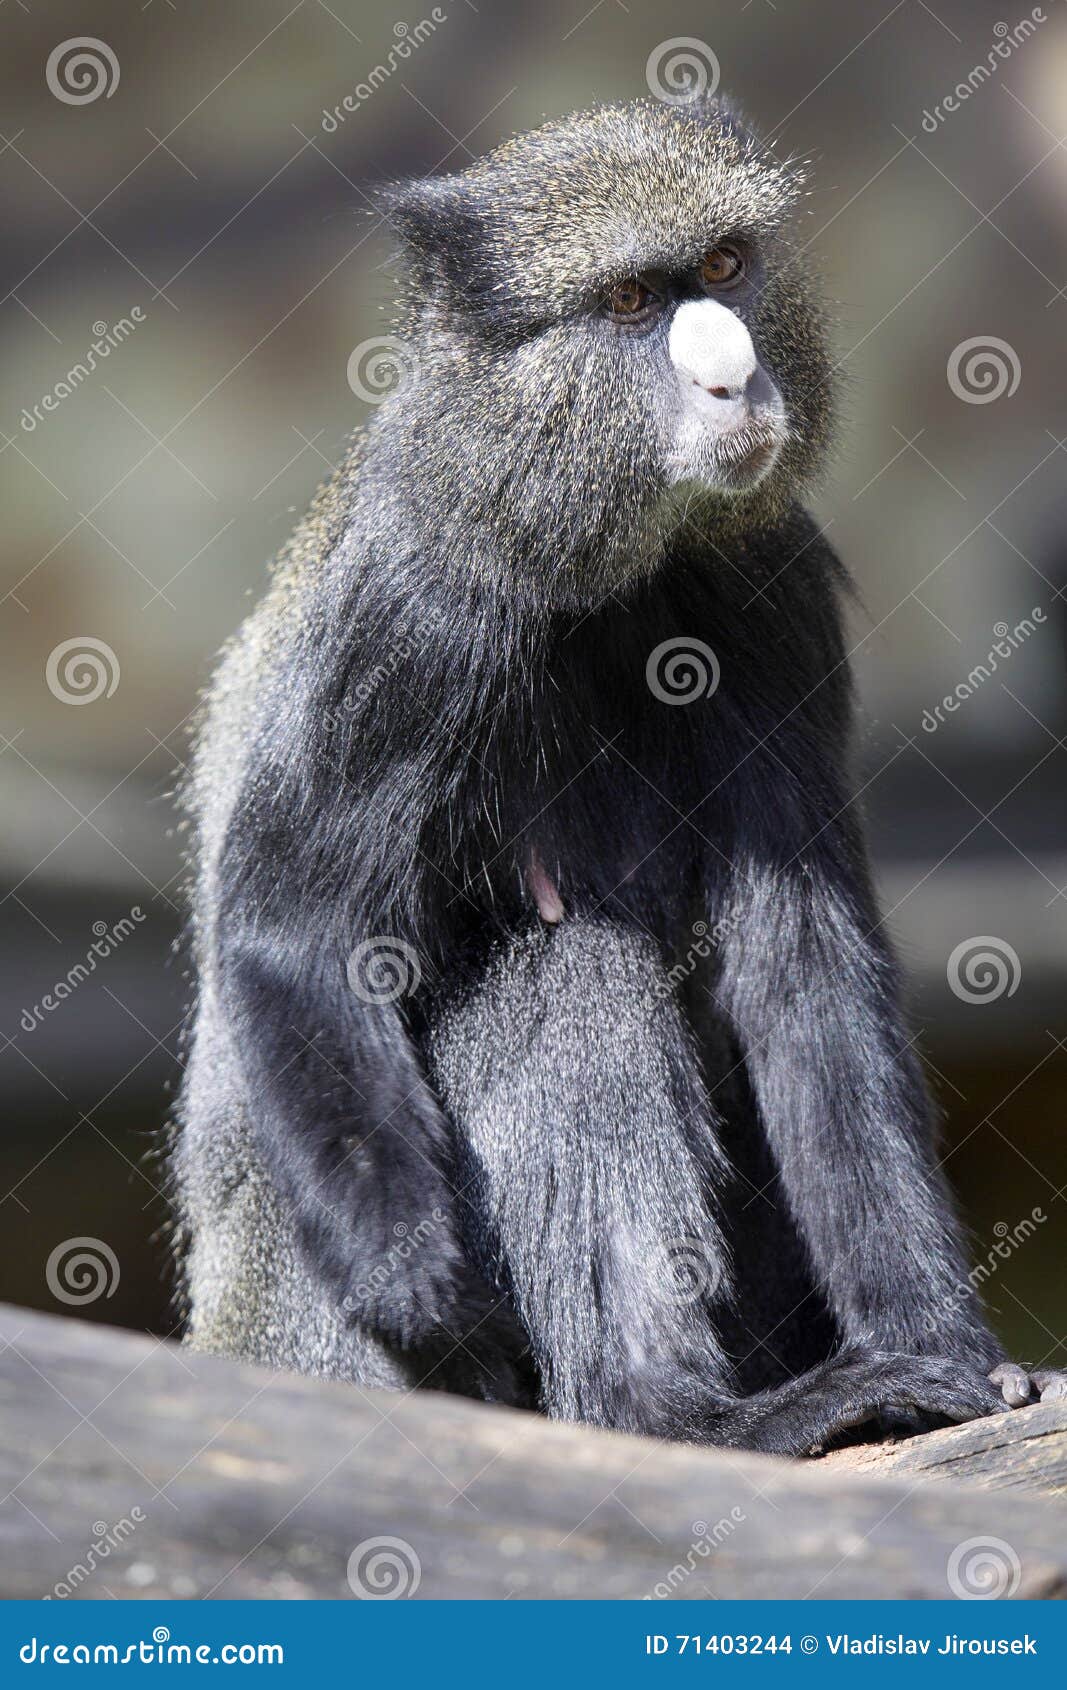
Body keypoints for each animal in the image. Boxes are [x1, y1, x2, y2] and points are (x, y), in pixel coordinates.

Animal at [171, 95, 1066, 1455]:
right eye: (633, 302)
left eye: (721, 268)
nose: (729, 372)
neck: (608, 565)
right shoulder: (417, 606)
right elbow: (294, 928)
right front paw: (425, 1290)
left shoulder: (768, 586)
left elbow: (800, 966)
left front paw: (939, 1341)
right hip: (317, 1346)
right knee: (569, 967)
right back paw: (675, 1415)